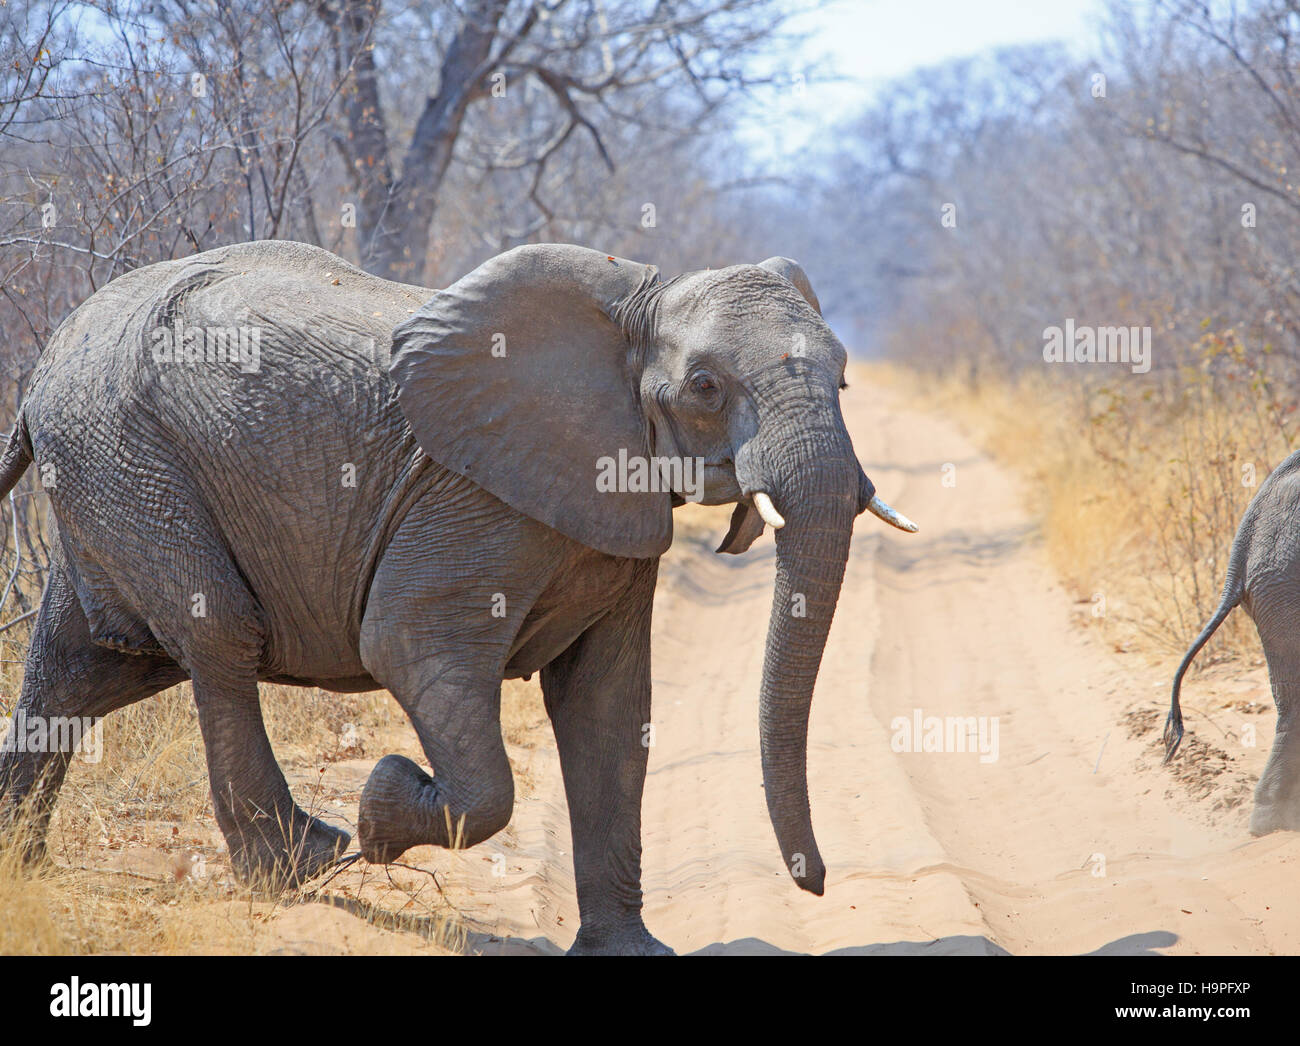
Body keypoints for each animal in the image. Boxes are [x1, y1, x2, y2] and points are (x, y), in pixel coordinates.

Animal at [0, 239, 916, 954]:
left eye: (843, 380)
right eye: (705, 387)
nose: (817, 884)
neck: (633, 308)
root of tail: (49, 356)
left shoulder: (615, 518)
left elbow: (609, 706)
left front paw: (632, 952)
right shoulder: (472, 498)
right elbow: (407, 649)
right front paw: (382, 808)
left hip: (106, 469)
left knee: (84, 669)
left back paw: (22, 866)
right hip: (130, 458)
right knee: (219, 637)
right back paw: (306, 862)